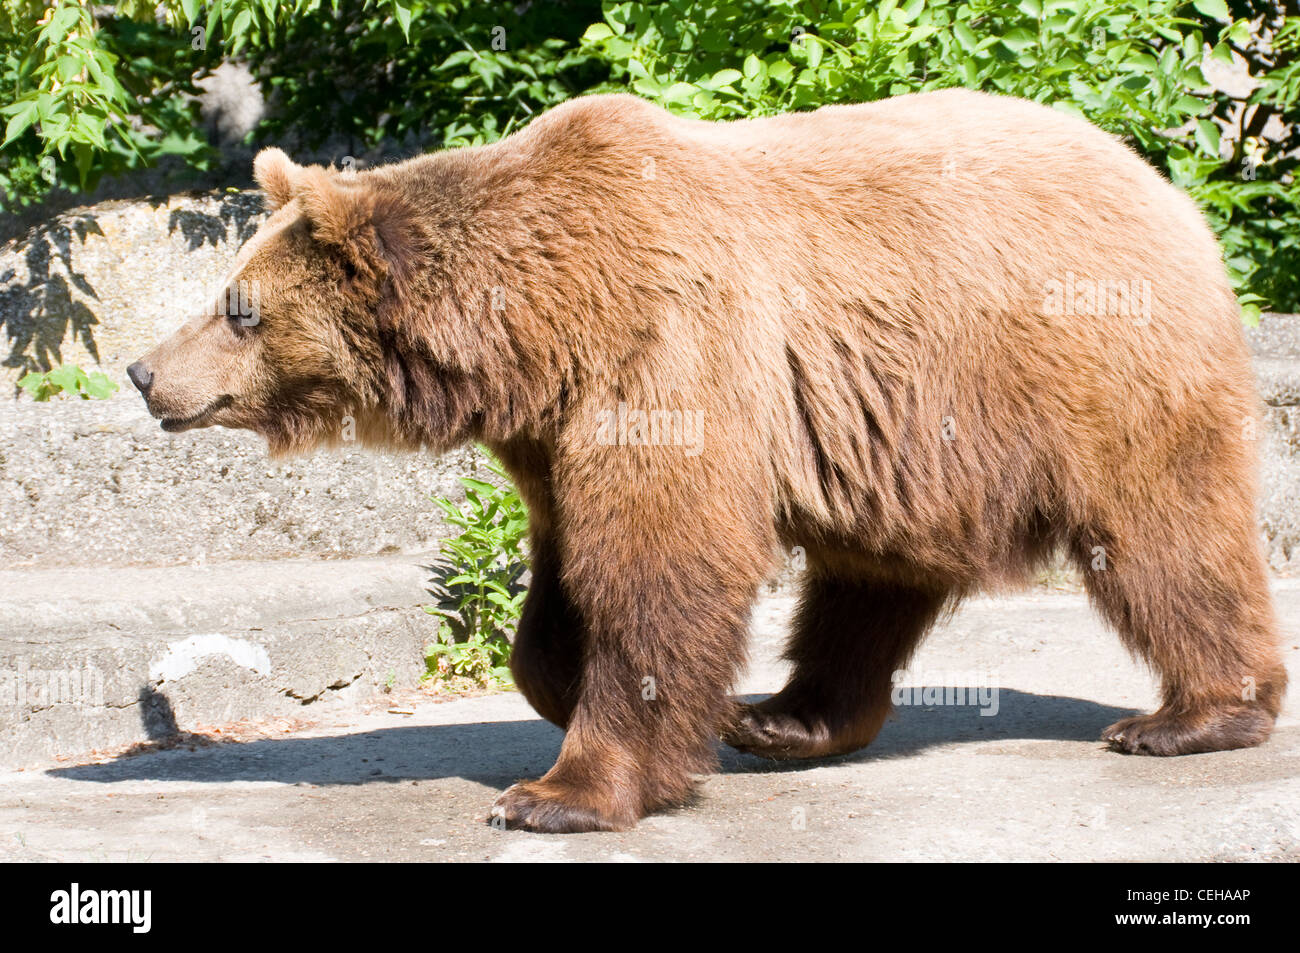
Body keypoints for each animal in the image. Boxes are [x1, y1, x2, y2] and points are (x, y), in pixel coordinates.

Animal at [128, 89, 1288, 833]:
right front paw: (600, 695)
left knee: (1162, 533)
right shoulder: (556, 431)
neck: (537, 328)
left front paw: (559, 793)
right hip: (907, 432)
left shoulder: (665, 356)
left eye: (237, 306)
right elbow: (566, 582)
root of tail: (1164, 187)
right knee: (869, 578)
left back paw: (1191, 714)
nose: (143, 371)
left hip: (1089, 369)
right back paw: (788, 715)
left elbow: (658, 560)